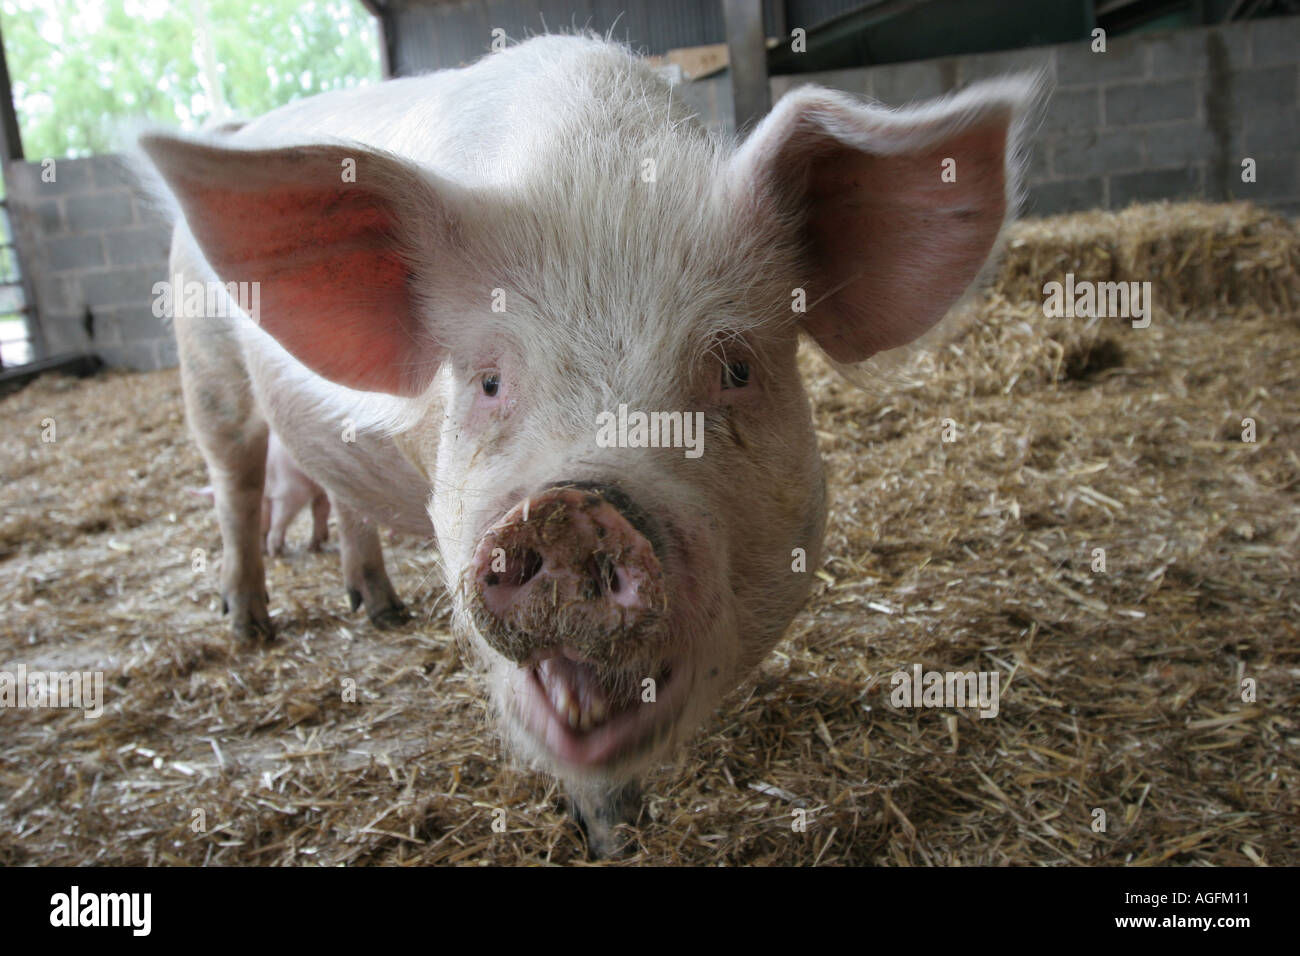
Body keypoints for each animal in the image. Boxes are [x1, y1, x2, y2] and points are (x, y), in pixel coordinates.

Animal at [140, 34, 1035, 855]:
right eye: (489, 382)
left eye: (736, 368)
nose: (570, 509)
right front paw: (609, 837)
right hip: (205, 365)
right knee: (235, 482)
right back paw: (249, 627)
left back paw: (381, 610)